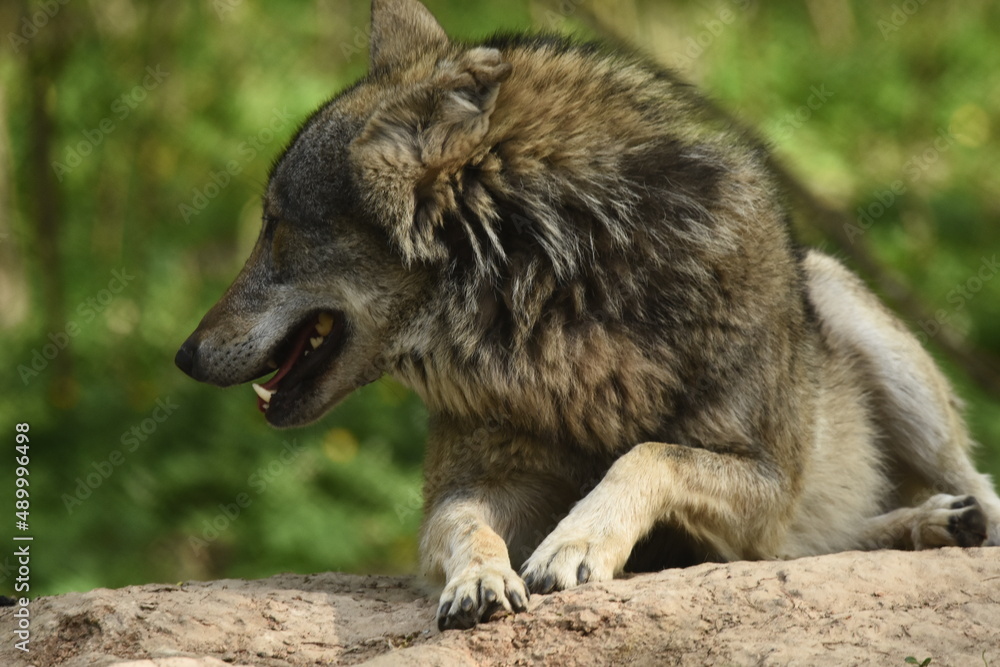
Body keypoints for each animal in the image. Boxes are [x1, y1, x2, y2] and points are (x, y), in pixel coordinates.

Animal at [175, 0, 1000, 631]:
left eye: (276, 226)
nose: (183, 355)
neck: (560, 309)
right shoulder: (470, 481)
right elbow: (461, 523)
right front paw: (480, 580)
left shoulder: (766, 487)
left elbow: (649, 454)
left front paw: (575, 544)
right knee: (841, 541)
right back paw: (930, 522)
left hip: (860, 325)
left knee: (971, 491)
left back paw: (951, 518)